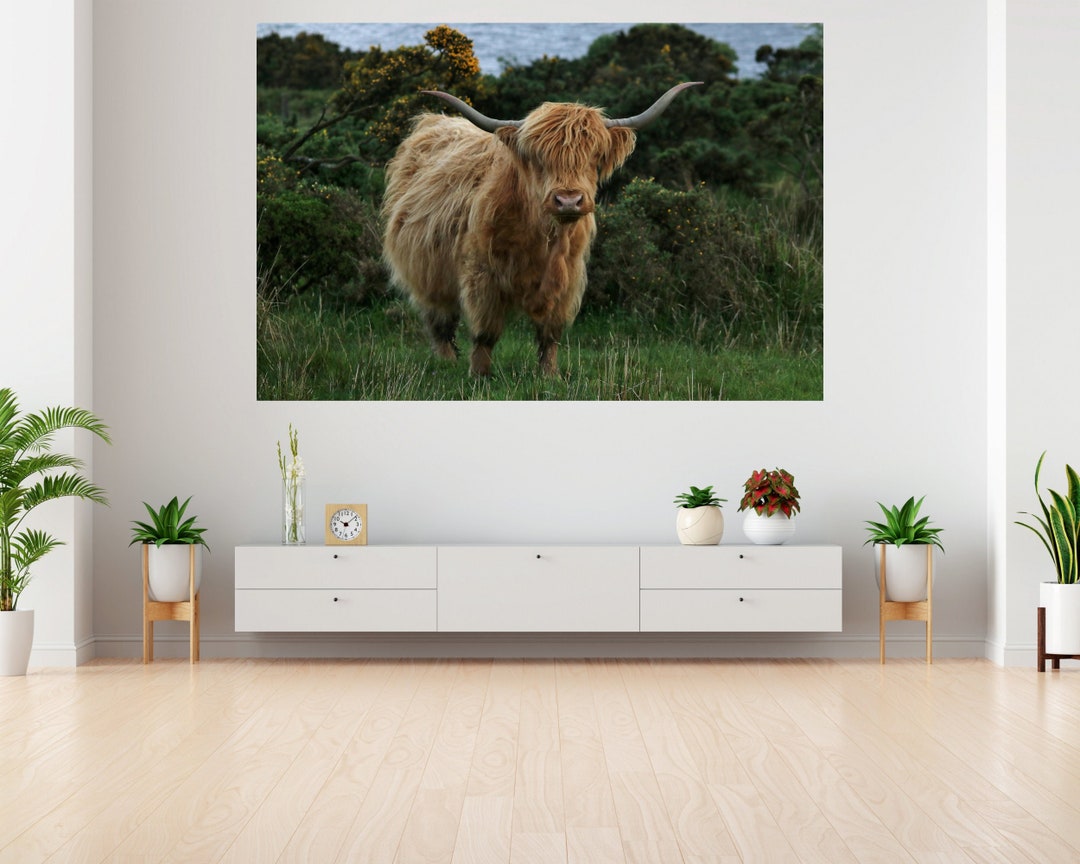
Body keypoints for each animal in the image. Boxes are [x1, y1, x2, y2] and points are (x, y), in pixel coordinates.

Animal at [381, 82, 702, 377]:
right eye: (538, 159)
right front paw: (479, 375)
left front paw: (550, 375)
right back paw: (446, 361)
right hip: (426, 270)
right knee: (439, 319)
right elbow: (485, 331)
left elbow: (551, 333)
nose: (568, 200)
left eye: (594, 157)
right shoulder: (482, 276)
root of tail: (434, 120)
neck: (541, 237)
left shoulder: (567, 277)